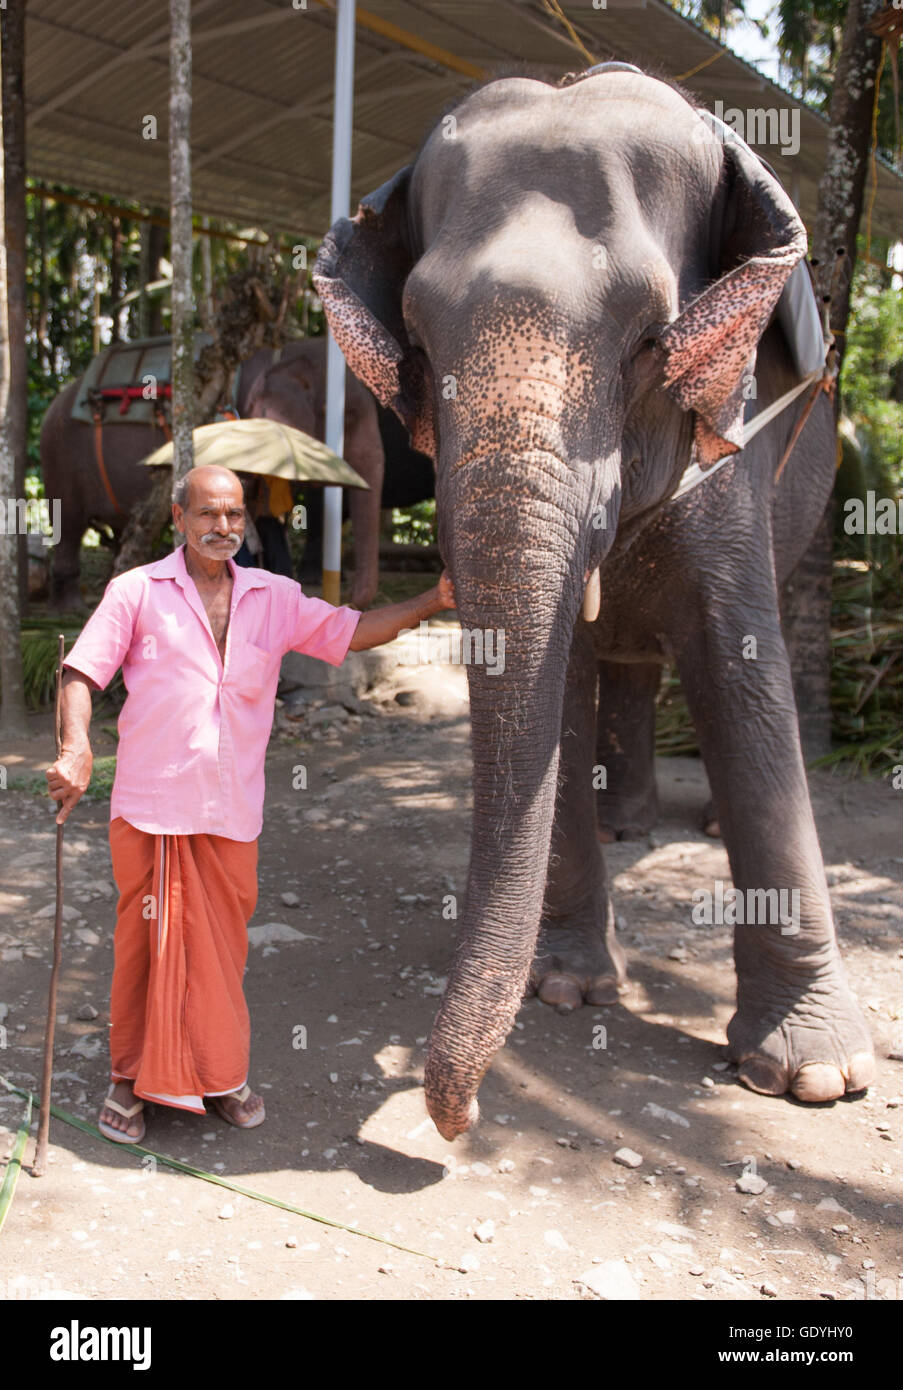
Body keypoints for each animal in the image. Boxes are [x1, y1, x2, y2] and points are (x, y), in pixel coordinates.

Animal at [313, 65, 876, 1141]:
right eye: (418, 336)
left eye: (653, 339)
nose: (456, 1122)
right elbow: (558, 686)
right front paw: (567, 990)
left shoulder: (733, 440)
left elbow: (742, 680)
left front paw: (815, 1077)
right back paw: (627, 827)